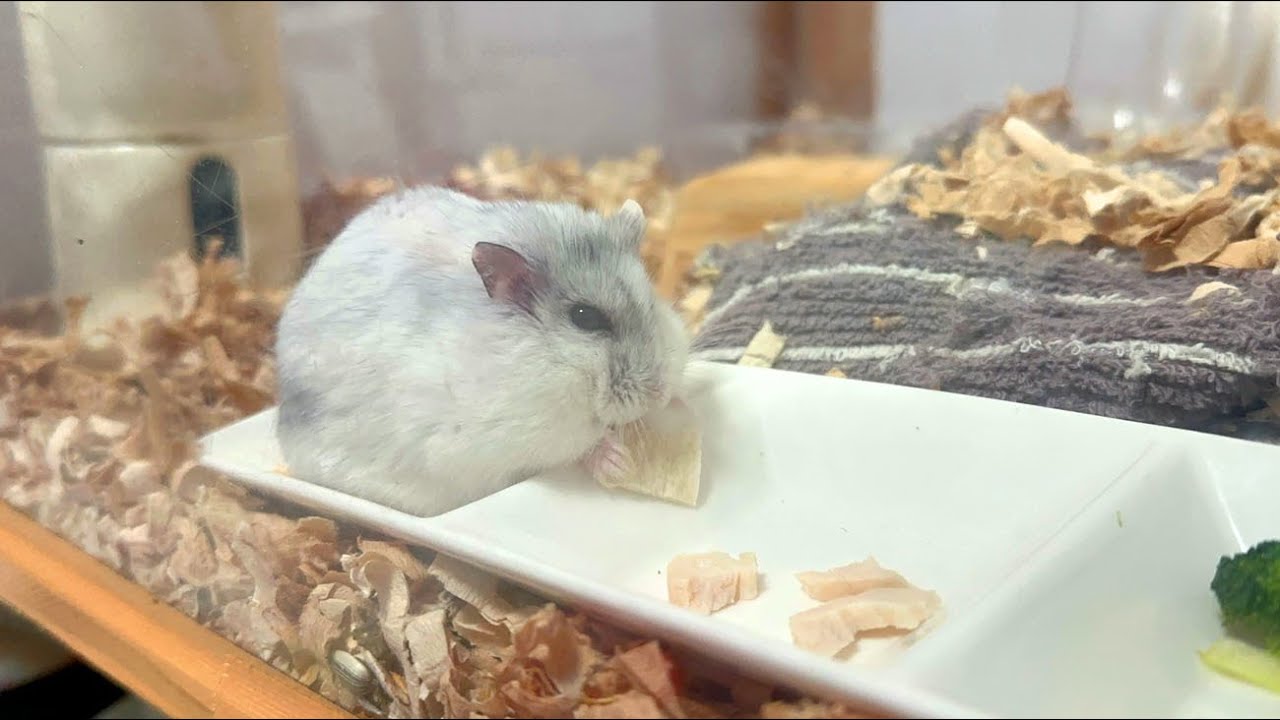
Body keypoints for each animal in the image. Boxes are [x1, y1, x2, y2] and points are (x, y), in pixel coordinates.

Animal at [274, 185, 690, 517]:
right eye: (585, 317)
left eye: (651, 301)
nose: (659, 393)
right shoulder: (508, 437)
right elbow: (575, 445)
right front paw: (618, 462)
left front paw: (678, 402)